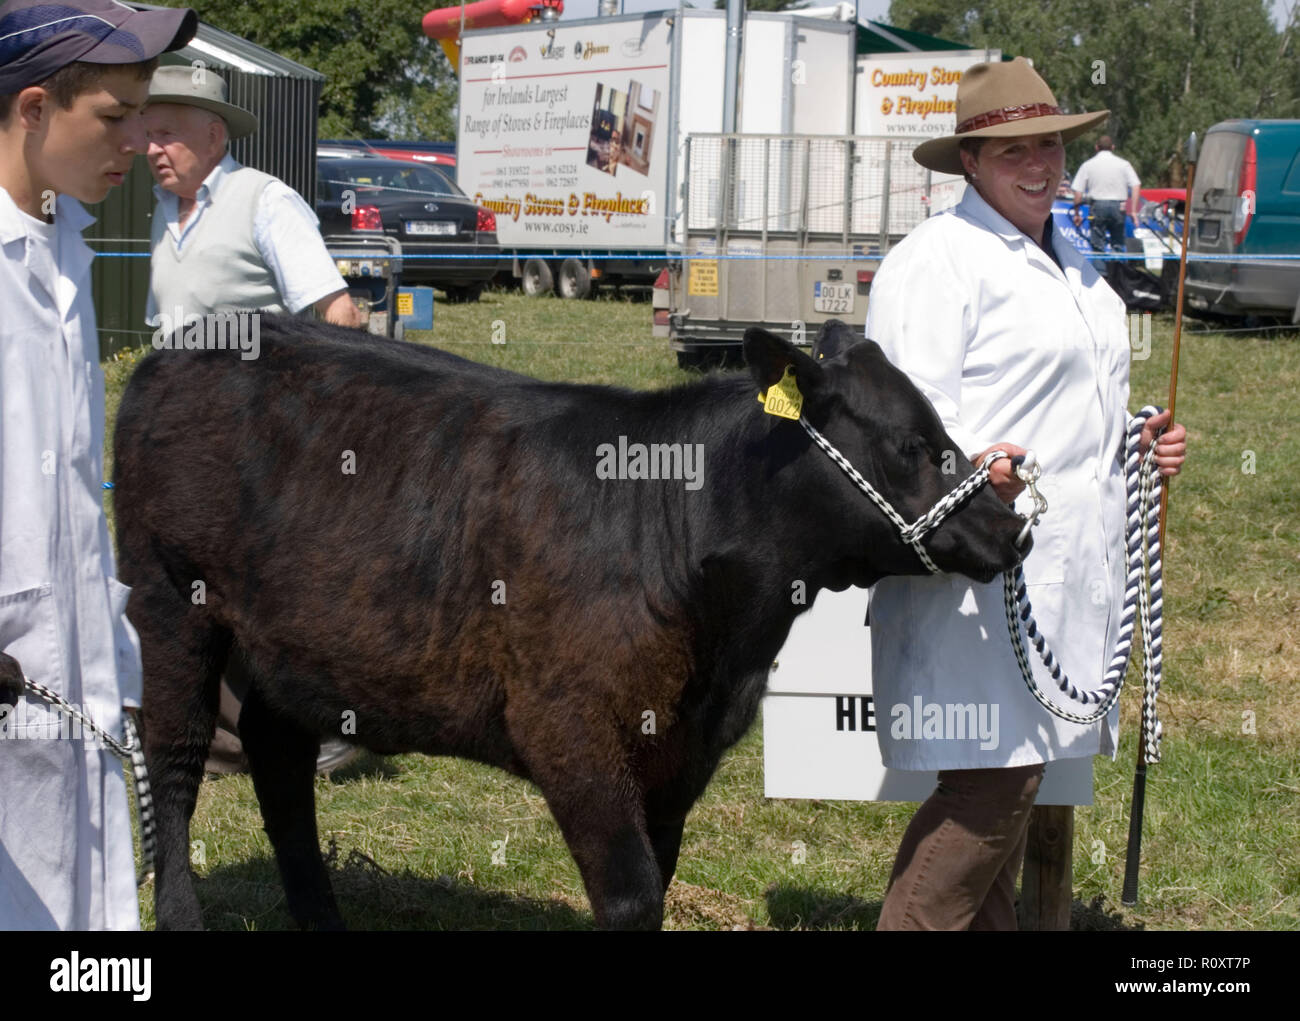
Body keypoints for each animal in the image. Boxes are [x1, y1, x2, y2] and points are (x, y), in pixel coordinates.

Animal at [112, 315, 1028, 931]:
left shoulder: (680, 750)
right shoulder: (568, 723)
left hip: (294, 642)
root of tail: (181, 344)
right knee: (175, 754)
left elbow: (659, 877)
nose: (1010, 526)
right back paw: (182, 913)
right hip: (170, 601)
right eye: (910, 445)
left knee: (277, 760)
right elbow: (629, 894)